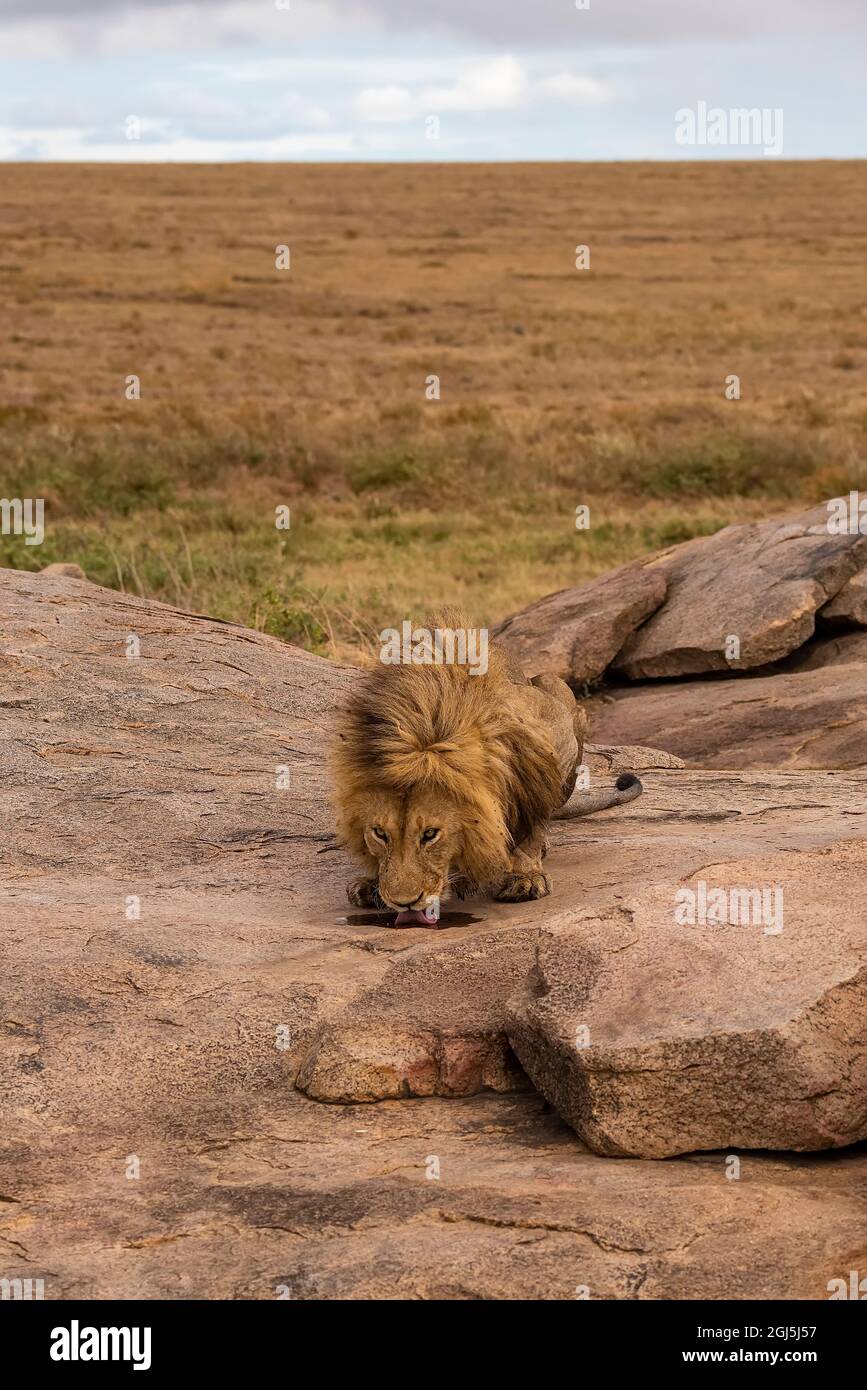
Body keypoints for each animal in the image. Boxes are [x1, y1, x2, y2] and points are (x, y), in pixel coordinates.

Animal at [332, 611, 642, 921]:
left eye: (430, 834)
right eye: (379, 834)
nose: (404, 902)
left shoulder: (549, 733)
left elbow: (532, 815)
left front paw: (525, 875)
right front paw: (372, 883)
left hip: (558, 688)